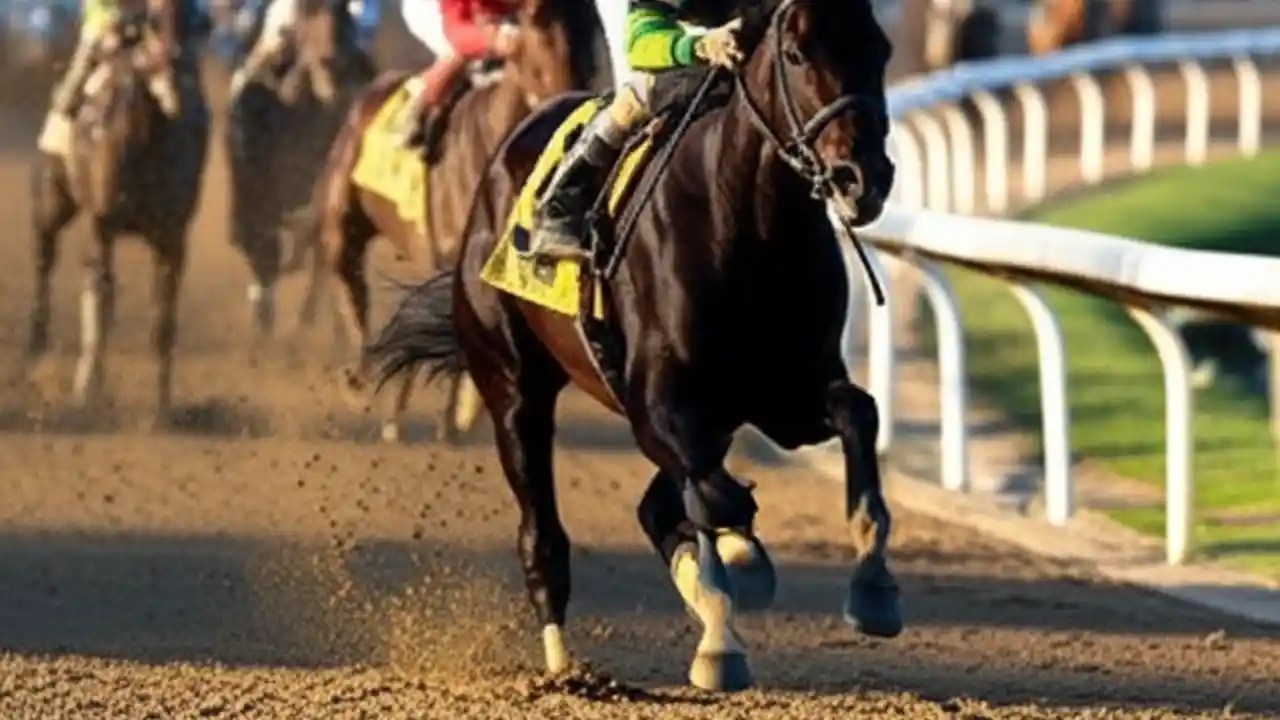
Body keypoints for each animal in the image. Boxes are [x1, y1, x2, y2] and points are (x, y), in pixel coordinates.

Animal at [29, 7, 211, 420]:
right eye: (155, 21)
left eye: (194, 18)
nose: (175, 86)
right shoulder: (102, 224)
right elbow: (101, 297)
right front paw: (88, 391)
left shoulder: (172, 237)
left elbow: (163, 316)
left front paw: (163, 404)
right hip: (52, 202)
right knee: (45, 260)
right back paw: (35, 346)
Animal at [297, 0, 607, 443]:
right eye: (540, 30)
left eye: (592, 27)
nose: (576, 96)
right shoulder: (449, 253)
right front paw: (431, 416)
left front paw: (463, 414)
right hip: (343, 220)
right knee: (350, 284)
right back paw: (362, 379)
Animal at [363, 0, 900, 691]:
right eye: (797, 55)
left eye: (881, 49)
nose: (862, 180)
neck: (750, 229)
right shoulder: (658, 406)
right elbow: (718, 498)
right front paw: (738, 574)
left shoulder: (785, 394)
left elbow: (858, 413)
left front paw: (873, 591)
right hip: (513, 387)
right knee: (544, 534)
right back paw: (565, 666)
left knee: (658, 504)